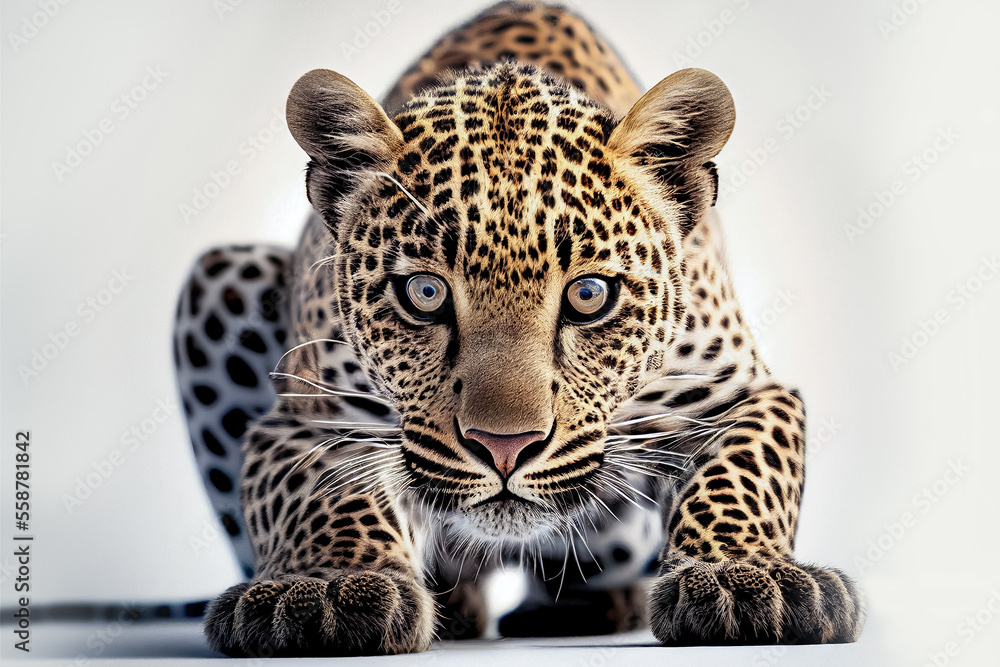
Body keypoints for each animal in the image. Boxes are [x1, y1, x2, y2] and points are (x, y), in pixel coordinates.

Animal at [172, 1, 865, 656]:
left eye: (589, 295)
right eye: (425, 293)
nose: (504, 447)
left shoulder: (739, 388)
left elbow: (743, 468)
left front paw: (748, 577)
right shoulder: (303, 417)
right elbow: (322, 489)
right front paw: (325, 585)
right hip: (217, 274)